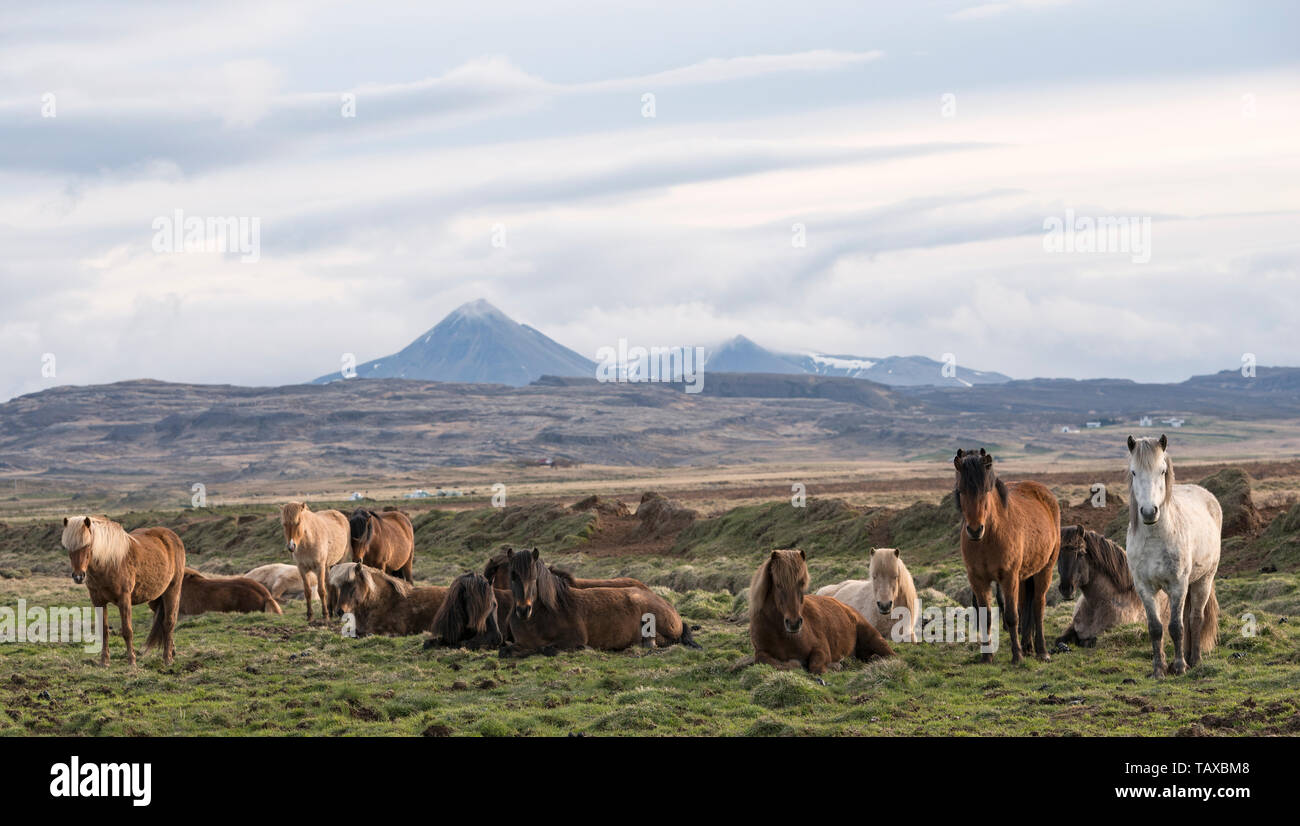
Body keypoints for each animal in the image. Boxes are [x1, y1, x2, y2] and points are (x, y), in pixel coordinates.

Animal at [60, 515, 185, 667]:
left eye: (87, 545)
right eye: (68, 548)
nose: (78, 576)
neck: (108, 563)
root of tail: (172, 536)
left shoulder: (124, 599)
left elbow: (127, 631)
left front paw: (132, 661)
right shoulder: (98, 601)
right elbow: (104, 630)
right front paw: (104, 661)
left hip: (172, 590)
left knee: (169, 622)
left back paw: (167, 659)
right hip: (156, 598)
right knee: (164, 622)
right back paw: (172, 653)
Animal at [750, 549, 894, 678]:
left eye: (802, 583)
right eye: (778, 584)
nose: (794, 623)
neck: (781, 634)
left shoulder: (820, 648)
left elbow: (816, 667)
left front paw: (834, 666)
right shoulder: (761, 652)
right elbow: (769, 662)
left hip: (873, 638)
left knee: (890, 655)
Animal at [954, 448, 1060, 664]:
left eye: (986, 490)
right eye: (961, 491)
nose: (975, 530)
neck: (988, 538)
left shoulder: (1009, 577)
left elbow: (1012, 616)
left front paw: (1016, 656)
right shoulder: (977, 579)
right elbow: (985, 616)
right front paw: (987, 656)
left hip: (1045, 570)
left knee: (1038, 606)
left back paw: (1041, 651)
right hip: (1025, 576)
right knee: (1026, 605)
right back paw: (1028, 646)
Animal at [1126, 435, 1221, 677]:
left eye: (1162, 471)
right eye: (1134, 472)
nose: (1149, 512)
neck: (1155, 539)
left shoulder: (1178, 585)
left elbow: (1176, 627)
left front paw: (1179, 666)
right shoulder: (1144, 588)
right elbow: (1156, 628)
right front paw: (1159, 669)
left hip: (1203, 580)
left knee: (1195, 618)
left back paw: (1194, 659)